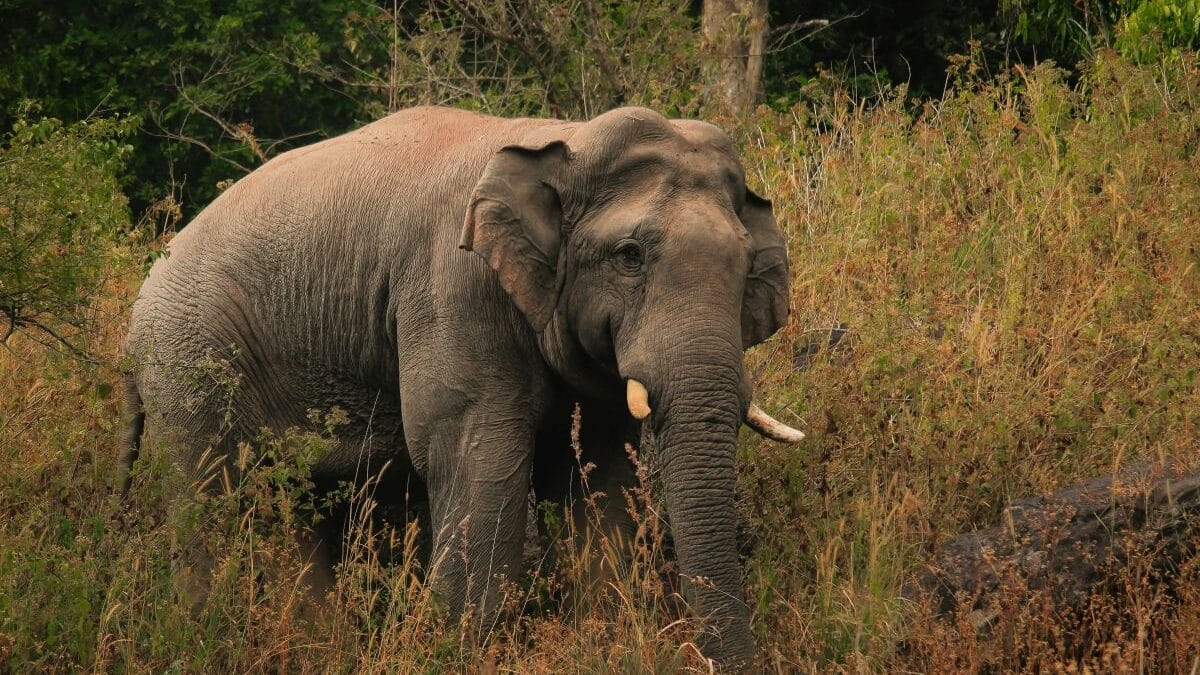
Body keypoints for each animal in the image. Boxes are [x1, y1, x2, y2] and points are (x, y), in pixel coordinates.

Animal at [118, 105, 804, 669]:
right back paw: (204, 639)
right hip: (187, 361)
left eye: (746, 264)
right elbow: (478, 459)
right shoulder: (455, 290)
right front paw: (455, 649)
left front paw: (605, 645)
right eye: (629, 256)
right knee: (209, 500)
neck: (564, 139)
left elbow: (599, 474)